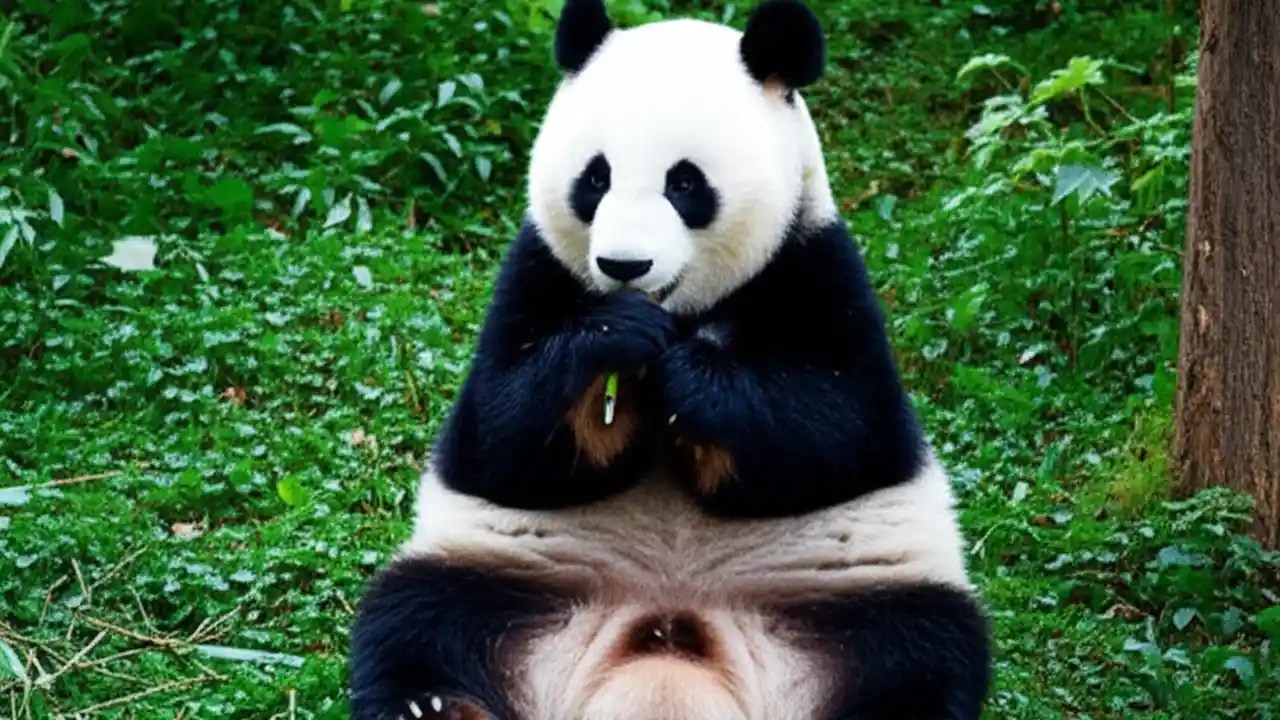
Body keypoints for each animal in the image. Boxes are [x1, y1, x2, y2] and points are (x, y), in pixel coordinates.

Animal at [348, 1, 992, 719]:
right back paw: (433, 703)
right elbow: (500, 434)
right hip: (501, 573)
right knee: (415, 615)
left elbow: (834, 428)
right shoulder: (536, 270)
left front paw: (692, 385)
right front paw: (614, 351)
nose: (623, 265)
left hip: (855, 589)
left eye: (685, 183)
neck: (680, 309)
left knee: (921, 647)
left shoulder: (820, 271)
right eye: (595, 178)